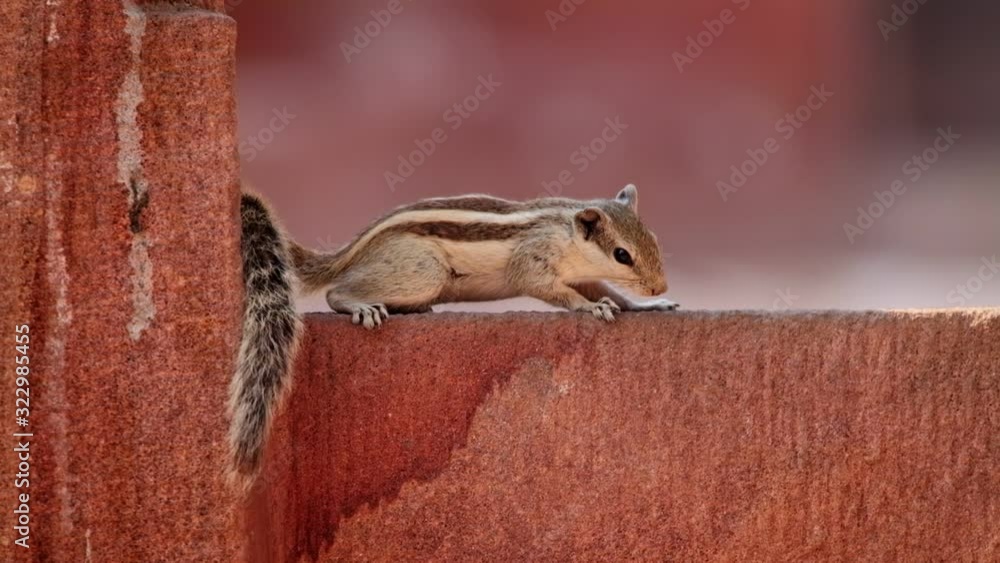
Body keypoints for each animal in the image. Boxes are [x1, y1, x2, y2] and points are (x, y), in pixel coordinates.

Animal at [231, 184, 678, 483]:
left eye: (654, 239)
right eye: (622, 254)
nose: (660, 287)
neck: (566, 234)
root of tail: (349, 252)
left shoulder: (582, 274)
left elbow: (607, 291)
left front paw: (645, 306)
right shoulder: (533, 260)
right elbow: (552, 289)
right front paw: (590, 308)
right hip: (422, 270)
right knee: (335, 291)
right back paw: (360, 305)